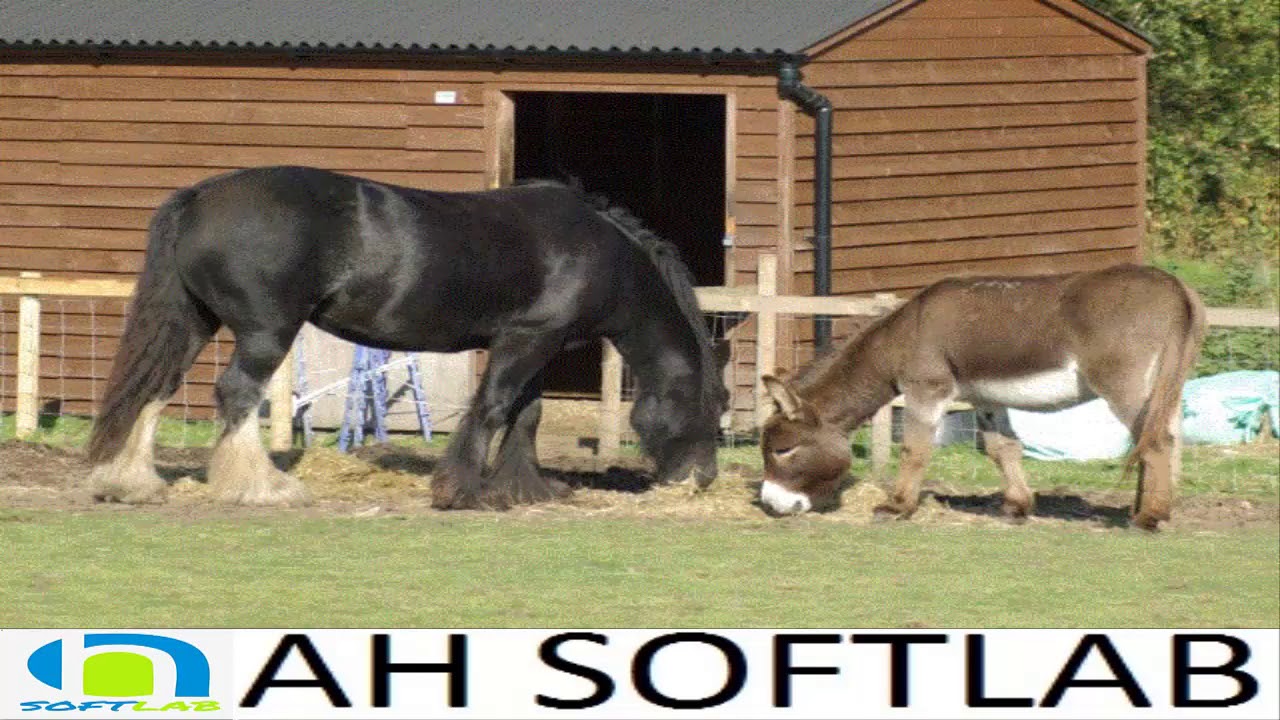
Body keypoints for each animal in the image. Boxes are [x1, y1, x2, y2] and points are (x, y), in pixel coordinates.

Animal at [86, 166, 727, 510]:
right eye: (712, 405)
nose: (701, 480)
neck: (598, 250)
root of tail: (201, 195)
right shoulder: (525, 340)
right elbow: (493, 408)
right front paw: (459, 489)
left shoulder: (539, 345)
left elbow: (527, 415)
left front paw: (523, 488)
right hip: (266, 332)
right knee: (236, 394)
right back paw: (261, 487)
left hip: (193, 321)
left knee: (156, 388)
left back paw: (129, 482)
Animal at [759, 264, 1206, 531]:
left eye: (783, 450)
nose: (770, 506)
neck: (902, 335)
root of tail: (1174, 286)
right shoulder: (984, 398)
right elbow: (1002, 449)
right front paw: (1017, 506)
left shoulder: (926, 389)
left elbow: (915, 451)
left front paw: (897, 507)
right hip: (1164, 385)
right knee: (1157, 440)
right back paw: (1145, 508)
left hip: (1123, 383)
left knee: (1156, 443)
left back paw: (1149, 517)